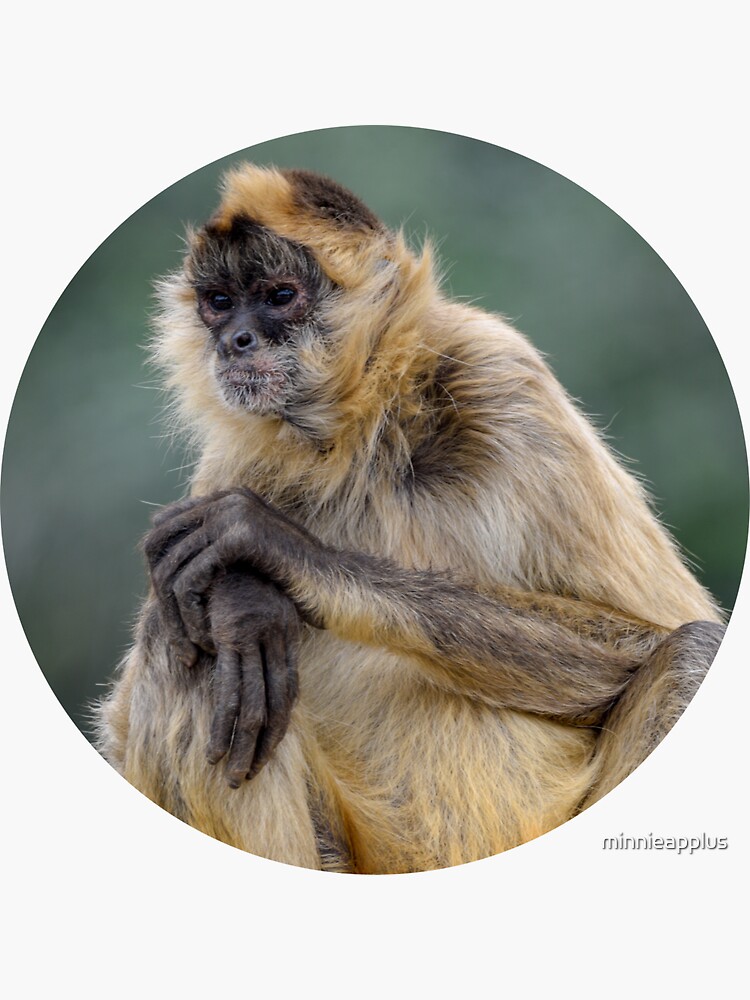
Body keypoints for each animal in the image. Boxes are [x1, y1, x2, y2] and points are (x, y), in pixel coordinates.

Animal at [95, 164, 725, 874]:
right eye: (220, 302)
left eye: (280, 295)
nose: (235, 342)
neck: (363, 441)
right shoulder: (238, 459)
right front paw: (248, 594)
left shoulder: (496, 371)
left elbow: (666, 630)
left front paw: (270, 557)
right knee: (179, 628)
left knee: (694, 650)